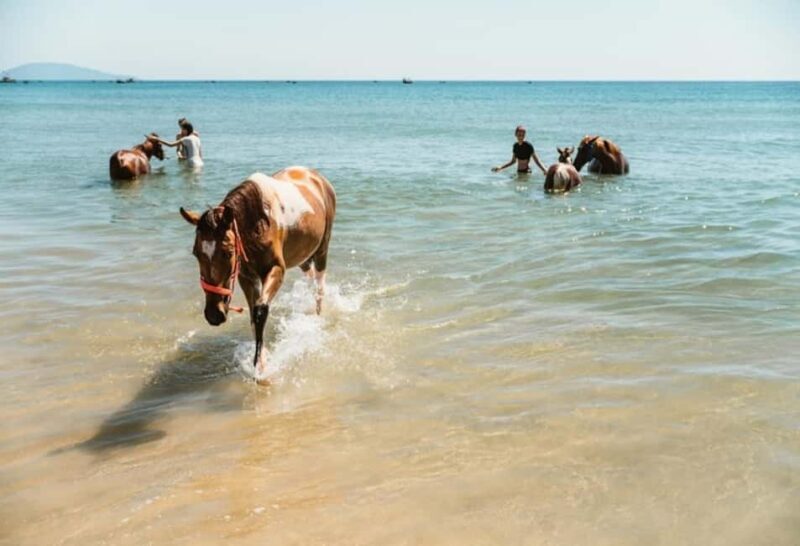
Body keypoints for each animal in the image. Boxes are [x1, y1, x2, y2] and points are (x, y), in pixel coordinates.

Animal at [179, 166, 336, 383]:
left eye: (228, 252)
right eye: (196, 253)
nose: (213, 314)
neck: (257, 223)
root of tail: (316, 176)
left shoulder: (277, 270)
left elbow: (260, 311)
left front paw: (260, 369)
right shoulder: (246, 278)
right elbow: (253, 317)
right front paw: (261, 362)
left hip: (322, 249)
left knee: (320, 284)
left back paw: (317, 317)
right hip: (303, 256)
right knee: (310, 276)